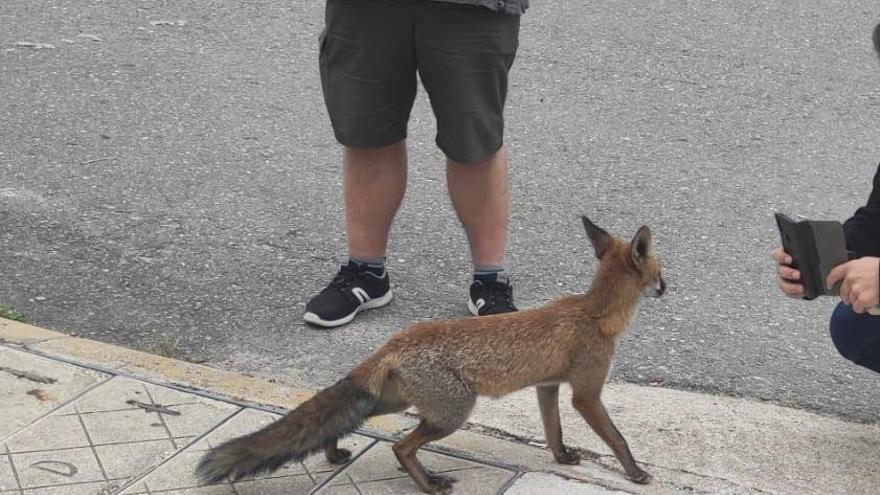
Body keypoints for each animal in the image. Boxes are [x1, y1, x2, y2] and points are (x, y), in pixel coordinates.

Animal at [195, 216, 666, 494]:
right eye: (660, 271)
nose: (666, 287)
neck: (595, 313)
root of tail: (393, 341)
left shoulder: (547, 387)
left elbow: (554, 433)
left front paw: (564, 458)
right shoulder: (585, 393)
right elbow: (617, 438)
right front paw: (636, 474)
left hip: (401, 403)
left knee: (340, 424)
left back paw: (333, 453)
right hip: (452, 413)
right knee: (402, 448)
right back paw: (428, 483)